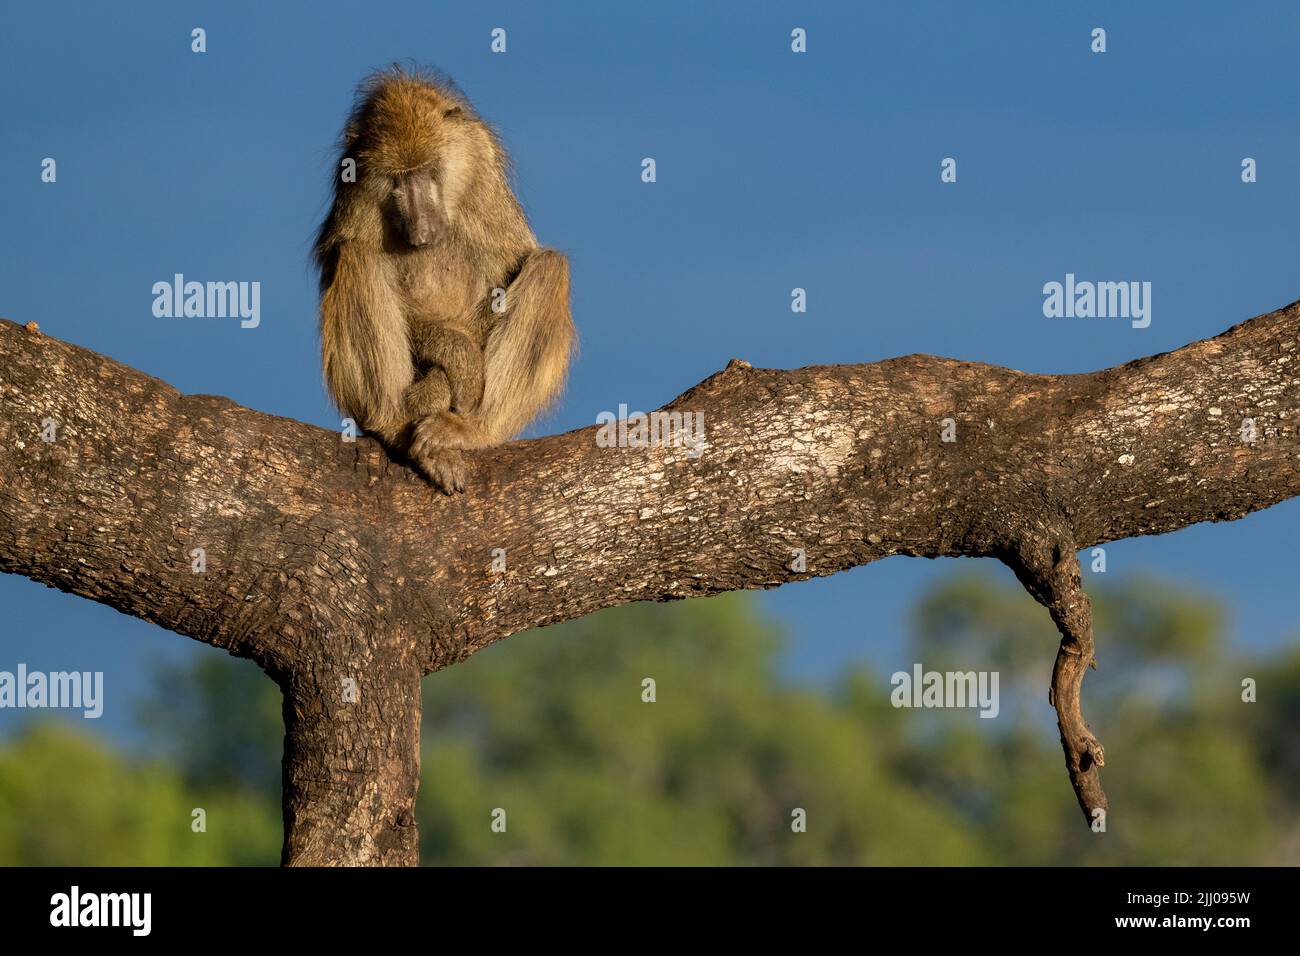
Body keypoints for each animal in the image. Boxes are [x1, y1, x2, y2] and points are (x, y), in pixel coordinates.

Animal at [314, 67, 575, 493]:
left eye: (430, 170)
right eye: (397, 179)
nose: (423, 227)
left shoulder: (482, 170)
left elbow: (509, 271)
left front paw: (452, 385)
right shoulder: (354, 187)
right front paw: (452, 364)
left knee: (551, 267)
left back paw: (473, 429)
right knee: (357, 257)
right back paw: (395, 420)